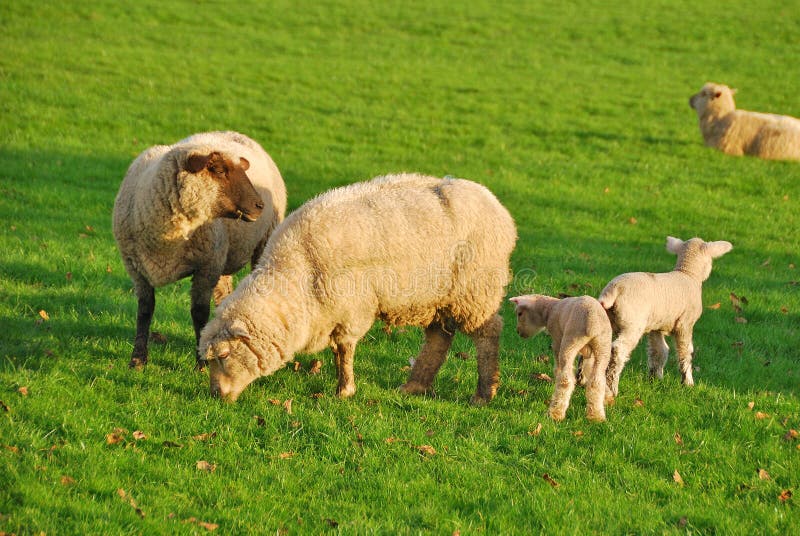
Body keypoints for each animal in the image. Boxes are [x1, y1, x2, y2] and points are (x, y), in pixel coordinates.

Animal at [112, 131, 287, 369]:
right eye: (220, 171)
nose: (259, 205)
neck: (166, 241)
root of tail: (232, 133)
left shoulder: (206, 267)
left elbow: (199, 313)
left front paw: (201, 364)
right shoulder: (136, 269)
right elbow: (145, 310)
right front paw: (138, 360)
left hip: (261, 242)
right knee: (224, 296)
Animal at [198, 173, 517, 403]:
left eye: (223, 356)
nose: (215, 395)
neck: (297, 274)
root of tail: (499, 209)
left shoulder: (352, 310)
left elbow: (345, 349)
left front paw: (345, 390)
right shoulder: (330, 312)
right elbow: (337, 350)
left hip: (476, 290)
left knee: (488, 333)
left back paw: (483, 393)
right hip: (438, 297)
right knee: (440, 338)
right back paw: (415, 385)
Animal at [598, 236, 732, 397]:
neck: (687, 273)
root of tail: (613, 290)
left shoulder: (656, 327)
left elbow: (660, 351)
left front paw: (655, 378)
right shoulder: (685, 324)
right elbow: (686, 352)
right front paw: (688, 382)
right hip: (632, 324)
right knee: (618, 350)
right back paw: (612, 389)